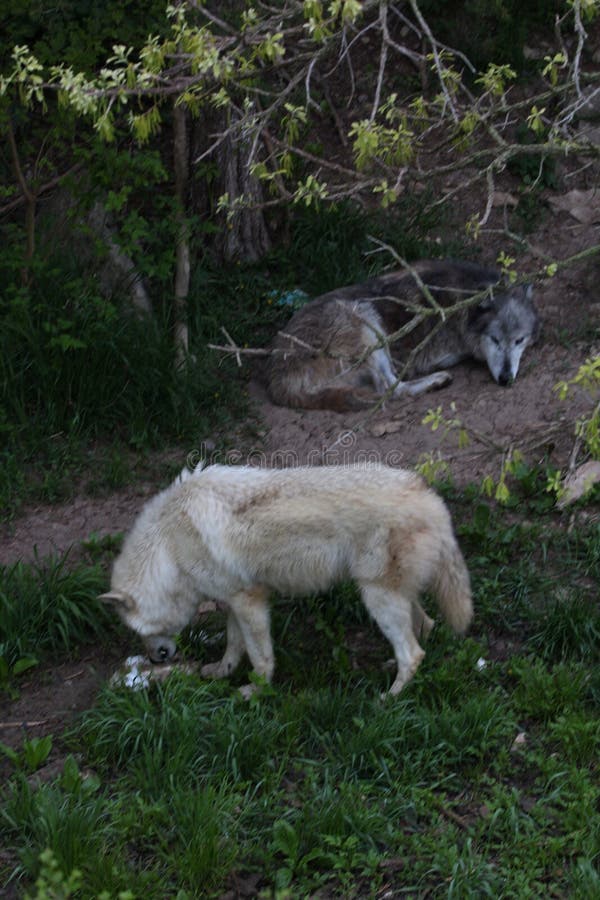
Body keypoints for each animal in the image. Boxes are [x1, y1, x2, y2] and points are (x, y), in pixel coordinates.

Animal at [99, 463, 472, 697]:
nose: (156, 659)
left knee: (414, 653)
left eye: (138, 631)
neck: (169, 548)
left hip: (377, 598)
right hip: (393, 597)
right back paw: (393, 666)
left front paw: (254, 691)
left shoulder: (250, 602)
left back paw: (389, 698)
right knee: (425, 628)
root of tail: (430, 496)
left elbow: (260, 657)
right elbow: (233, 646)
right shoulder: (235, 601)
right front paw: (220, 673)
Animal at [266, 259, 540, 411]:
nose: (506, 379)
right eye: (494, 340)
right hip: (363, 317)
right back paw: (437, 380)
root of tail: (277, 381)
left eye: (519, 340)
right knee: (389, 388)